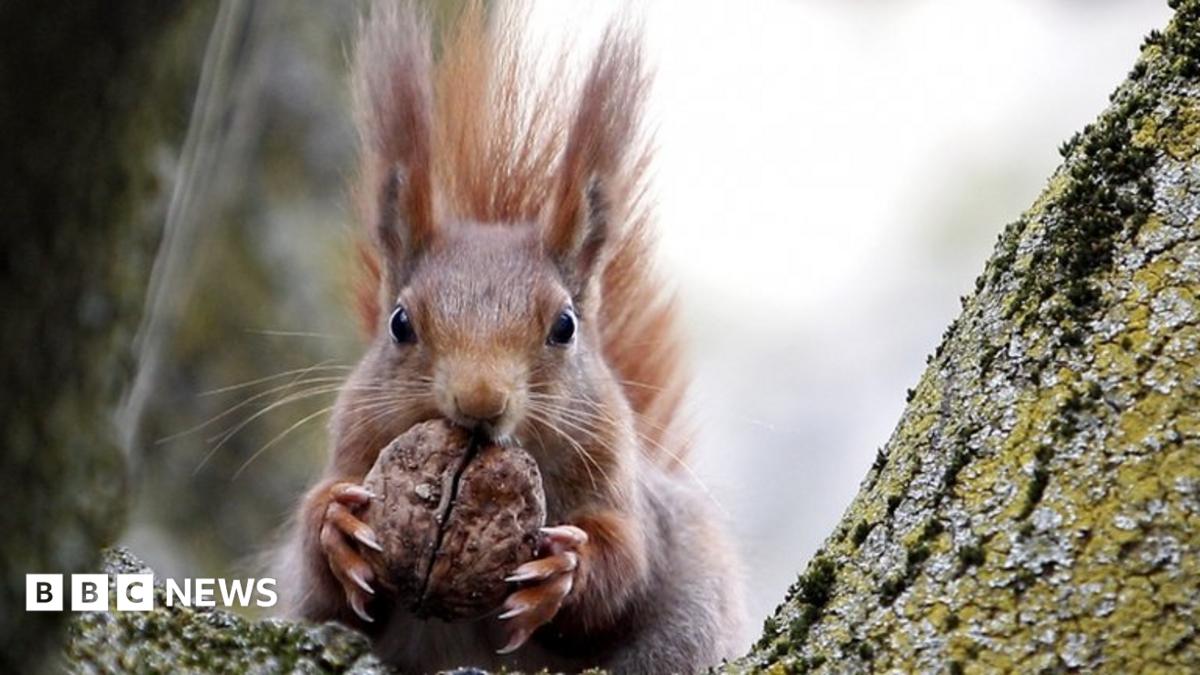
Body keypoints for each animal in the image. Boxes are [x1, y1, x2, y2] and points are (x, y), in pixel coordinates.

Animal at [275, 2, 746, 673]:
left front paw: (563, 570)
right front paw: (336, 527)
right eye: (399, 323)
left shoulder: (623, 490)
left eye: (565, 326)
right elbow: (321, 586)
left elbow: (624, 566)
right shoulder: (353, 447)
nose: (480, 400)